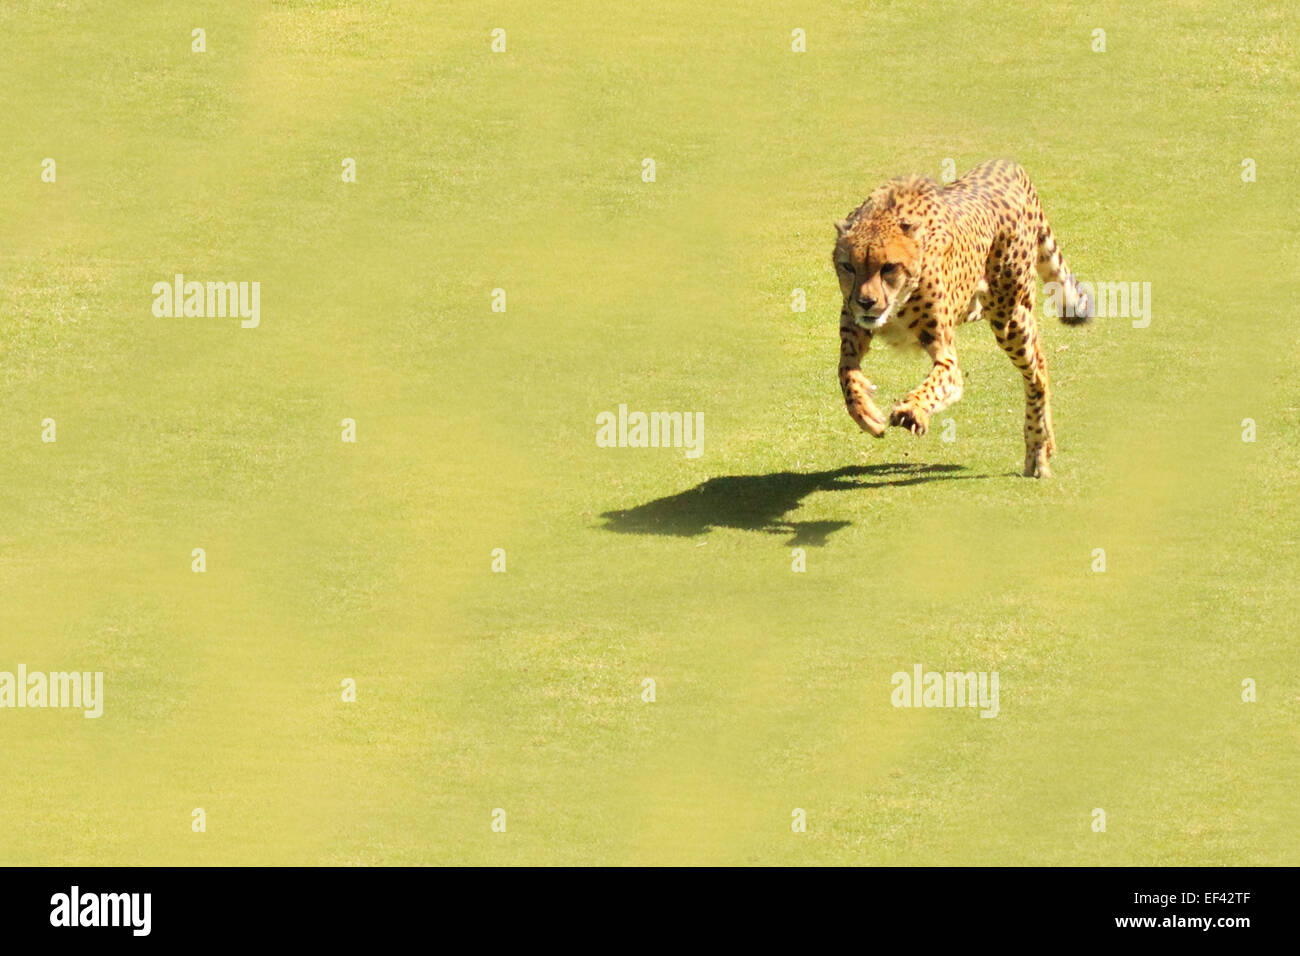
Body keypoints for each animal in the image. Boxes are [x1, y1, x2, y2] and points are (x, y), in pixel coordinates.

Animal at [833, 159, 1093, 478]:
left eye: (889, 267)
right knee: (1040, 361)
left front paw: (911, 411)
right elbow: (845, 372)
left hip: (1009, 316)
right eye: (848, 266)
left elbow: (941, 381)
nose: (866, 302)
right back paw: (1048, 443)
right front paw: (864, 409)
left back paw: (1038, 451)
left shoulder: (945, 352)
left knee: (1037, 374)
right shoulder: (854, 329)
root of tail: (1006, 165)